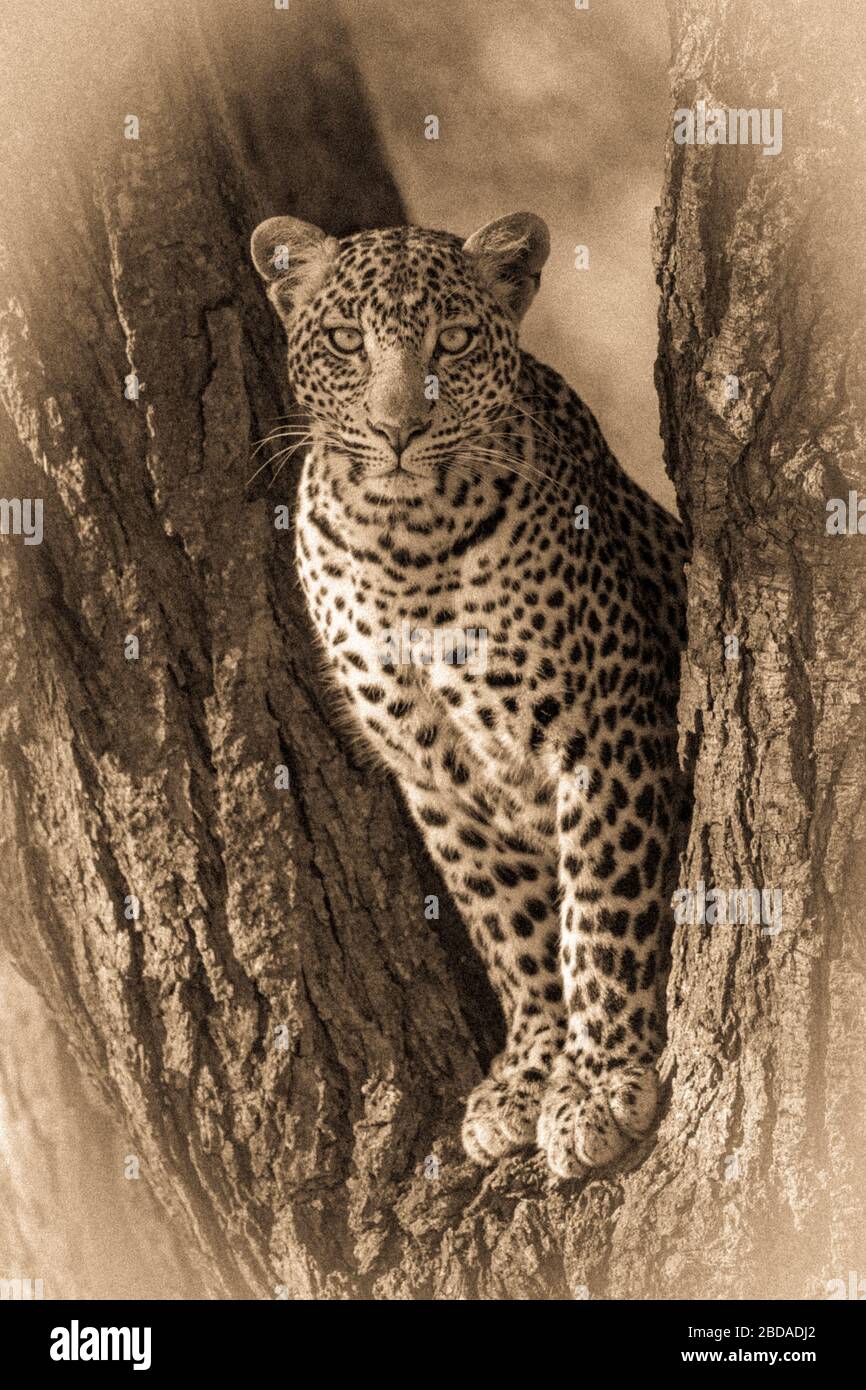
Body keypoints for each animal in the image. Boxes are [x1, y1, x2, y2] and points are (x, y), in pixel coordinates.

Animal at [250, 210, 689, 1179]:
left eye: (450, 341)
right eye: (347, 341)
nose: (397, 430)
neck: (405, 541)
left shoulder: (605, 730)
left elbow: (597, 913)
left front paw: (597, 1081)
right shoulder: (437, 774)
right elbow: (513, 929)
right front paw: (529, 1075)